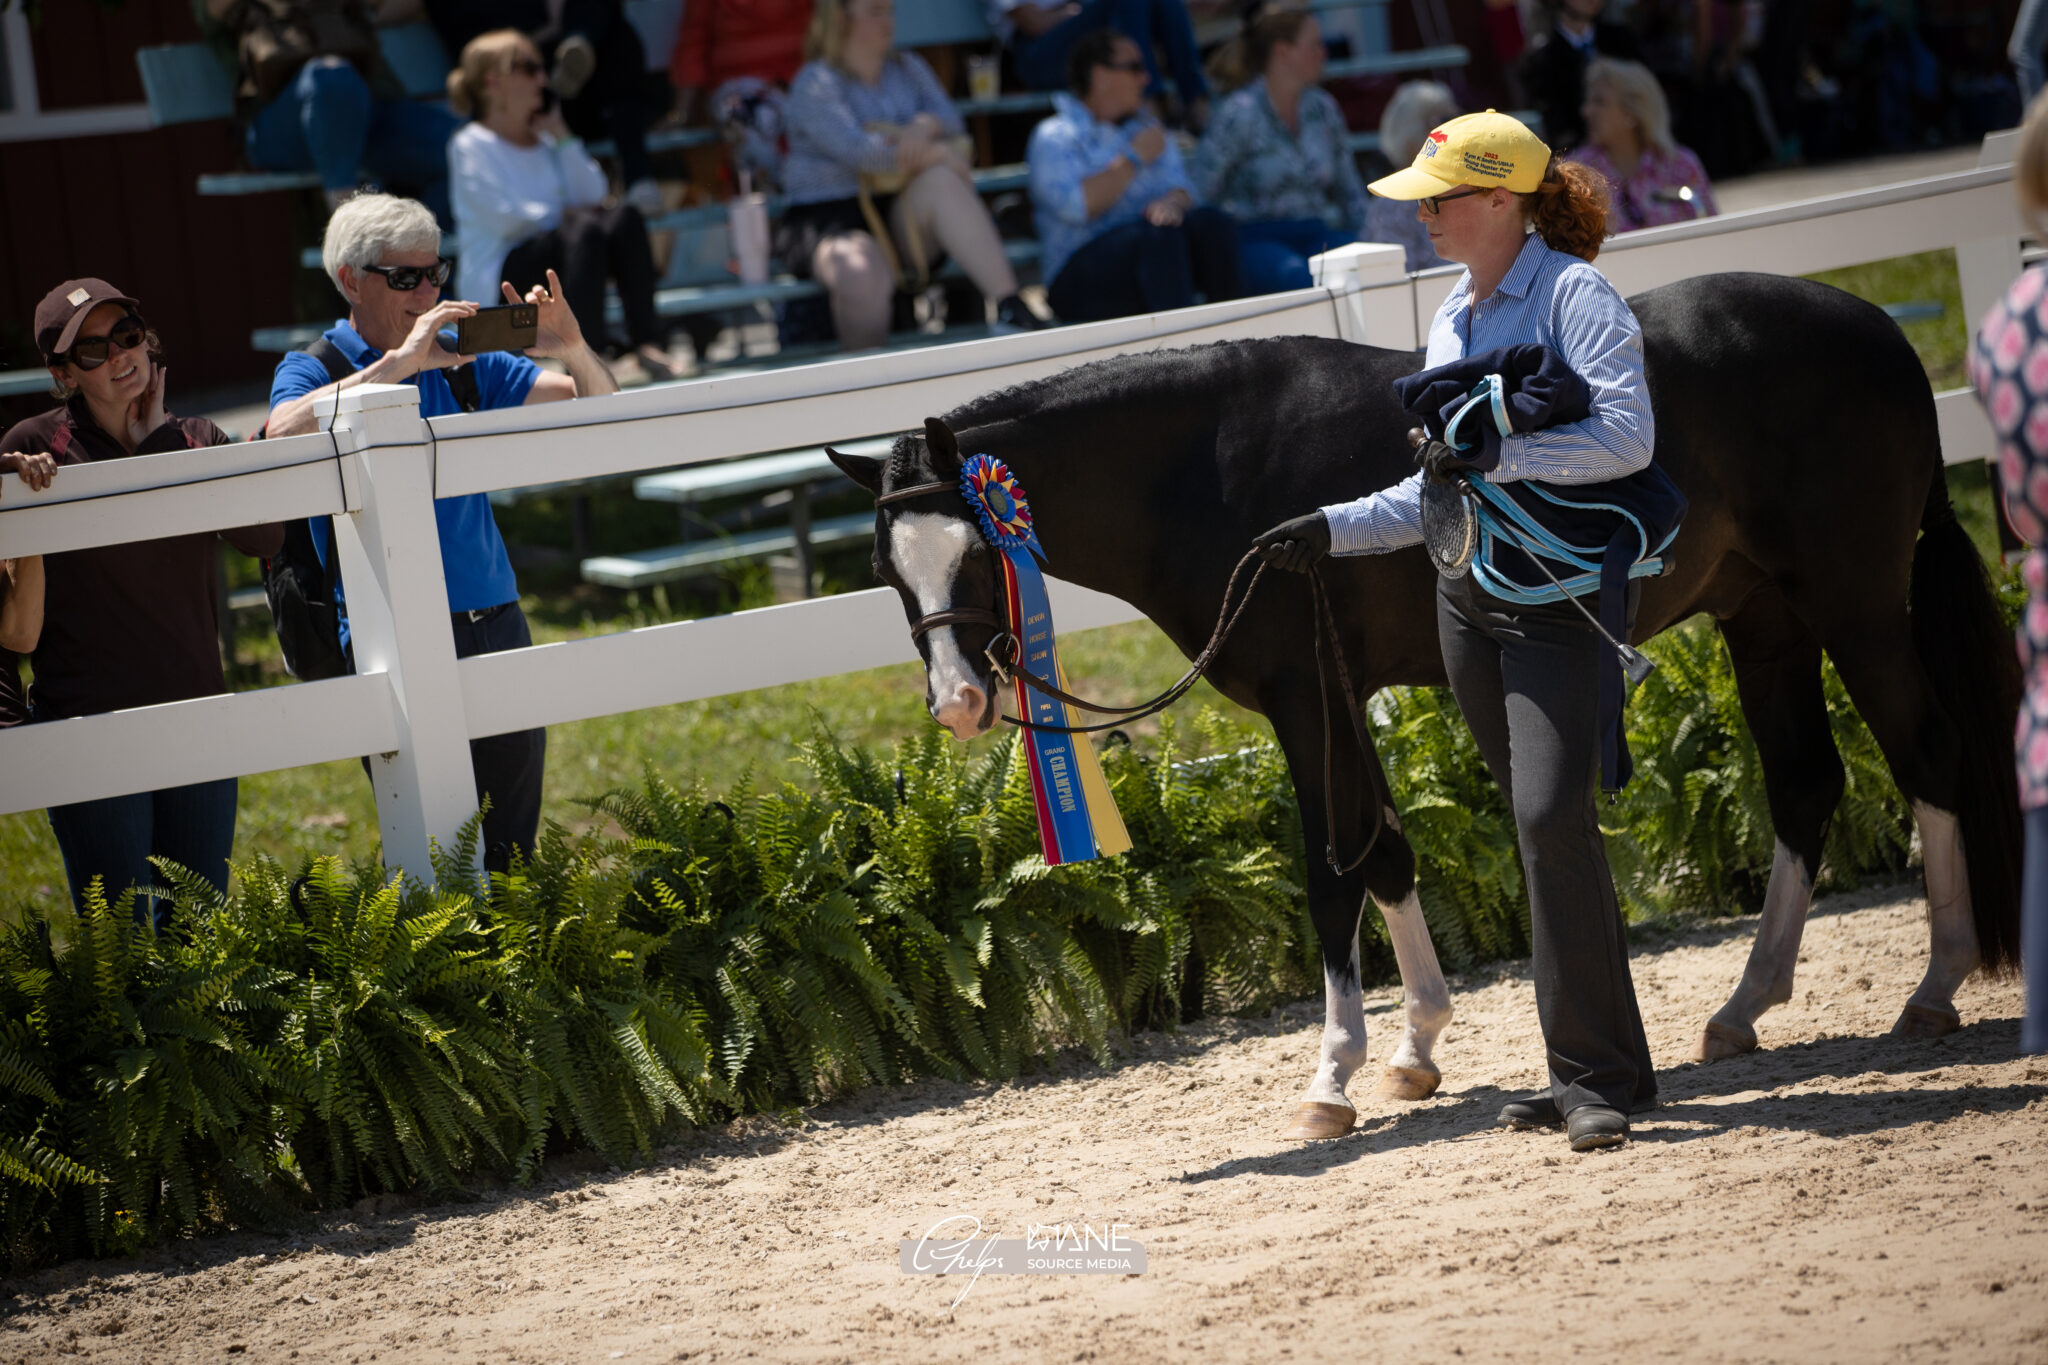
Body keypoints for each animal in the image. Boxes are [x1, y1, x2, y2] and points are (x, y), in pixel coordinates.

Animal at [827, 271, 2022, 1140]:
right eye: (886, 566)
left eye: (973, 553)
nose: (959, 702)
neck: (1207, 467)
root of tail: (1876, 329)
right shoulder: (1336, 693)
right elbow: (1388, 851)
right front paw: (1412, 1051)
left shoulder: (1306, 697)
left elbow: (1332, 867)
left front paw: (1331, 1076)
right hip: (1763, 617)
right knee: (1805, 782)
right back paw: (1741, 1008)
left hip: (1854, 601)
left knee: (1926, 750)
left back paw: (1934, 987)